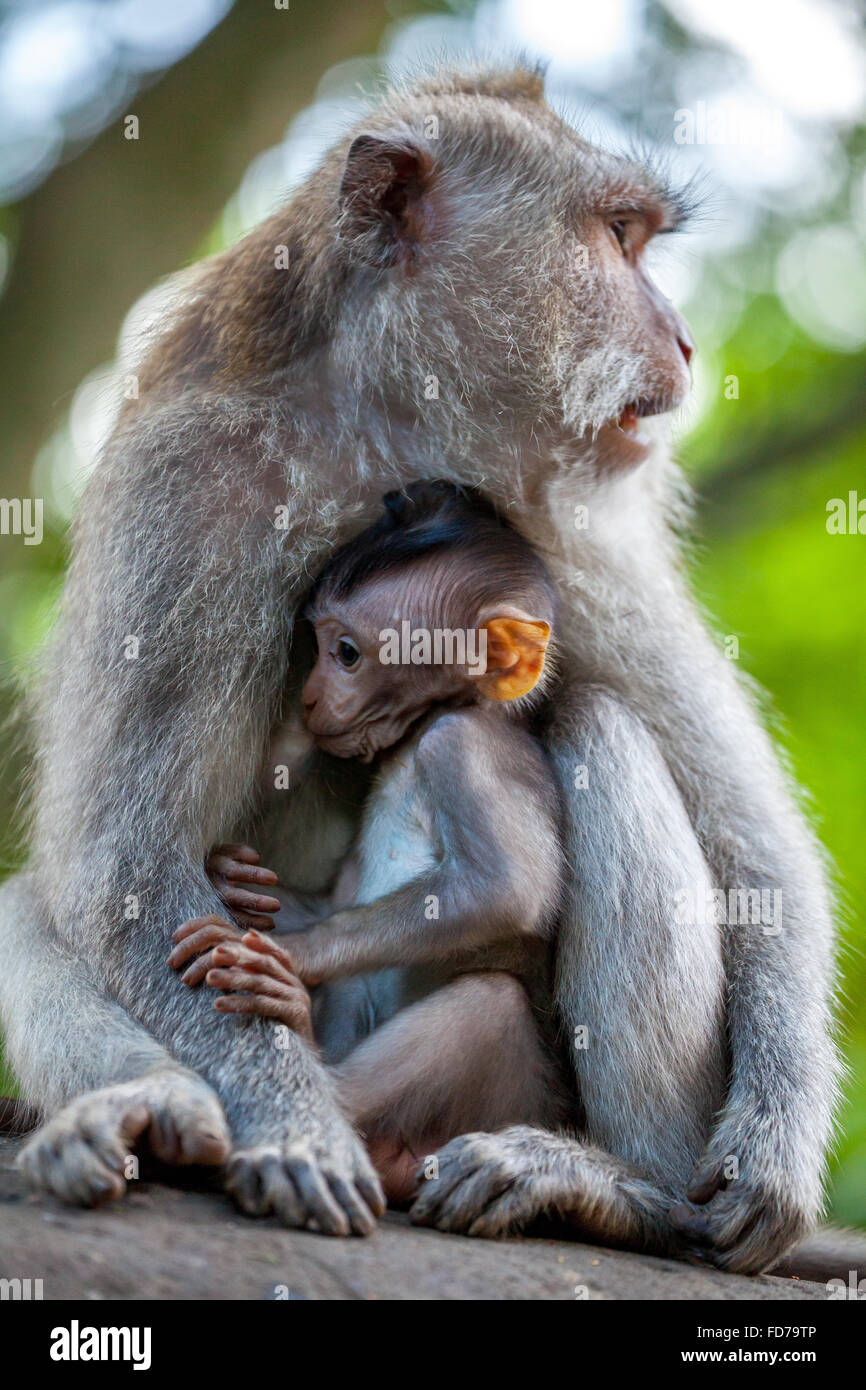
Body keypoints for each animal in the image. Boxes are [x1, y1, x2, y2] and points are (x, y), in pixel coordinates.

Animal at [163, 482, 568, 1202]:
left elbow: (507, 889)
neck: (421, 733)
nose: (309, 696)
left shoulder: (464, 745)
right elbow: (337, 894)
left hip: (511, 1100)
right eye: (319, 645)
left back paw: (305, 1038)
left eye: (347, 653)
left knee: (490, 1002)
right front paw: (235, 881)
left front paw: (294, 954)